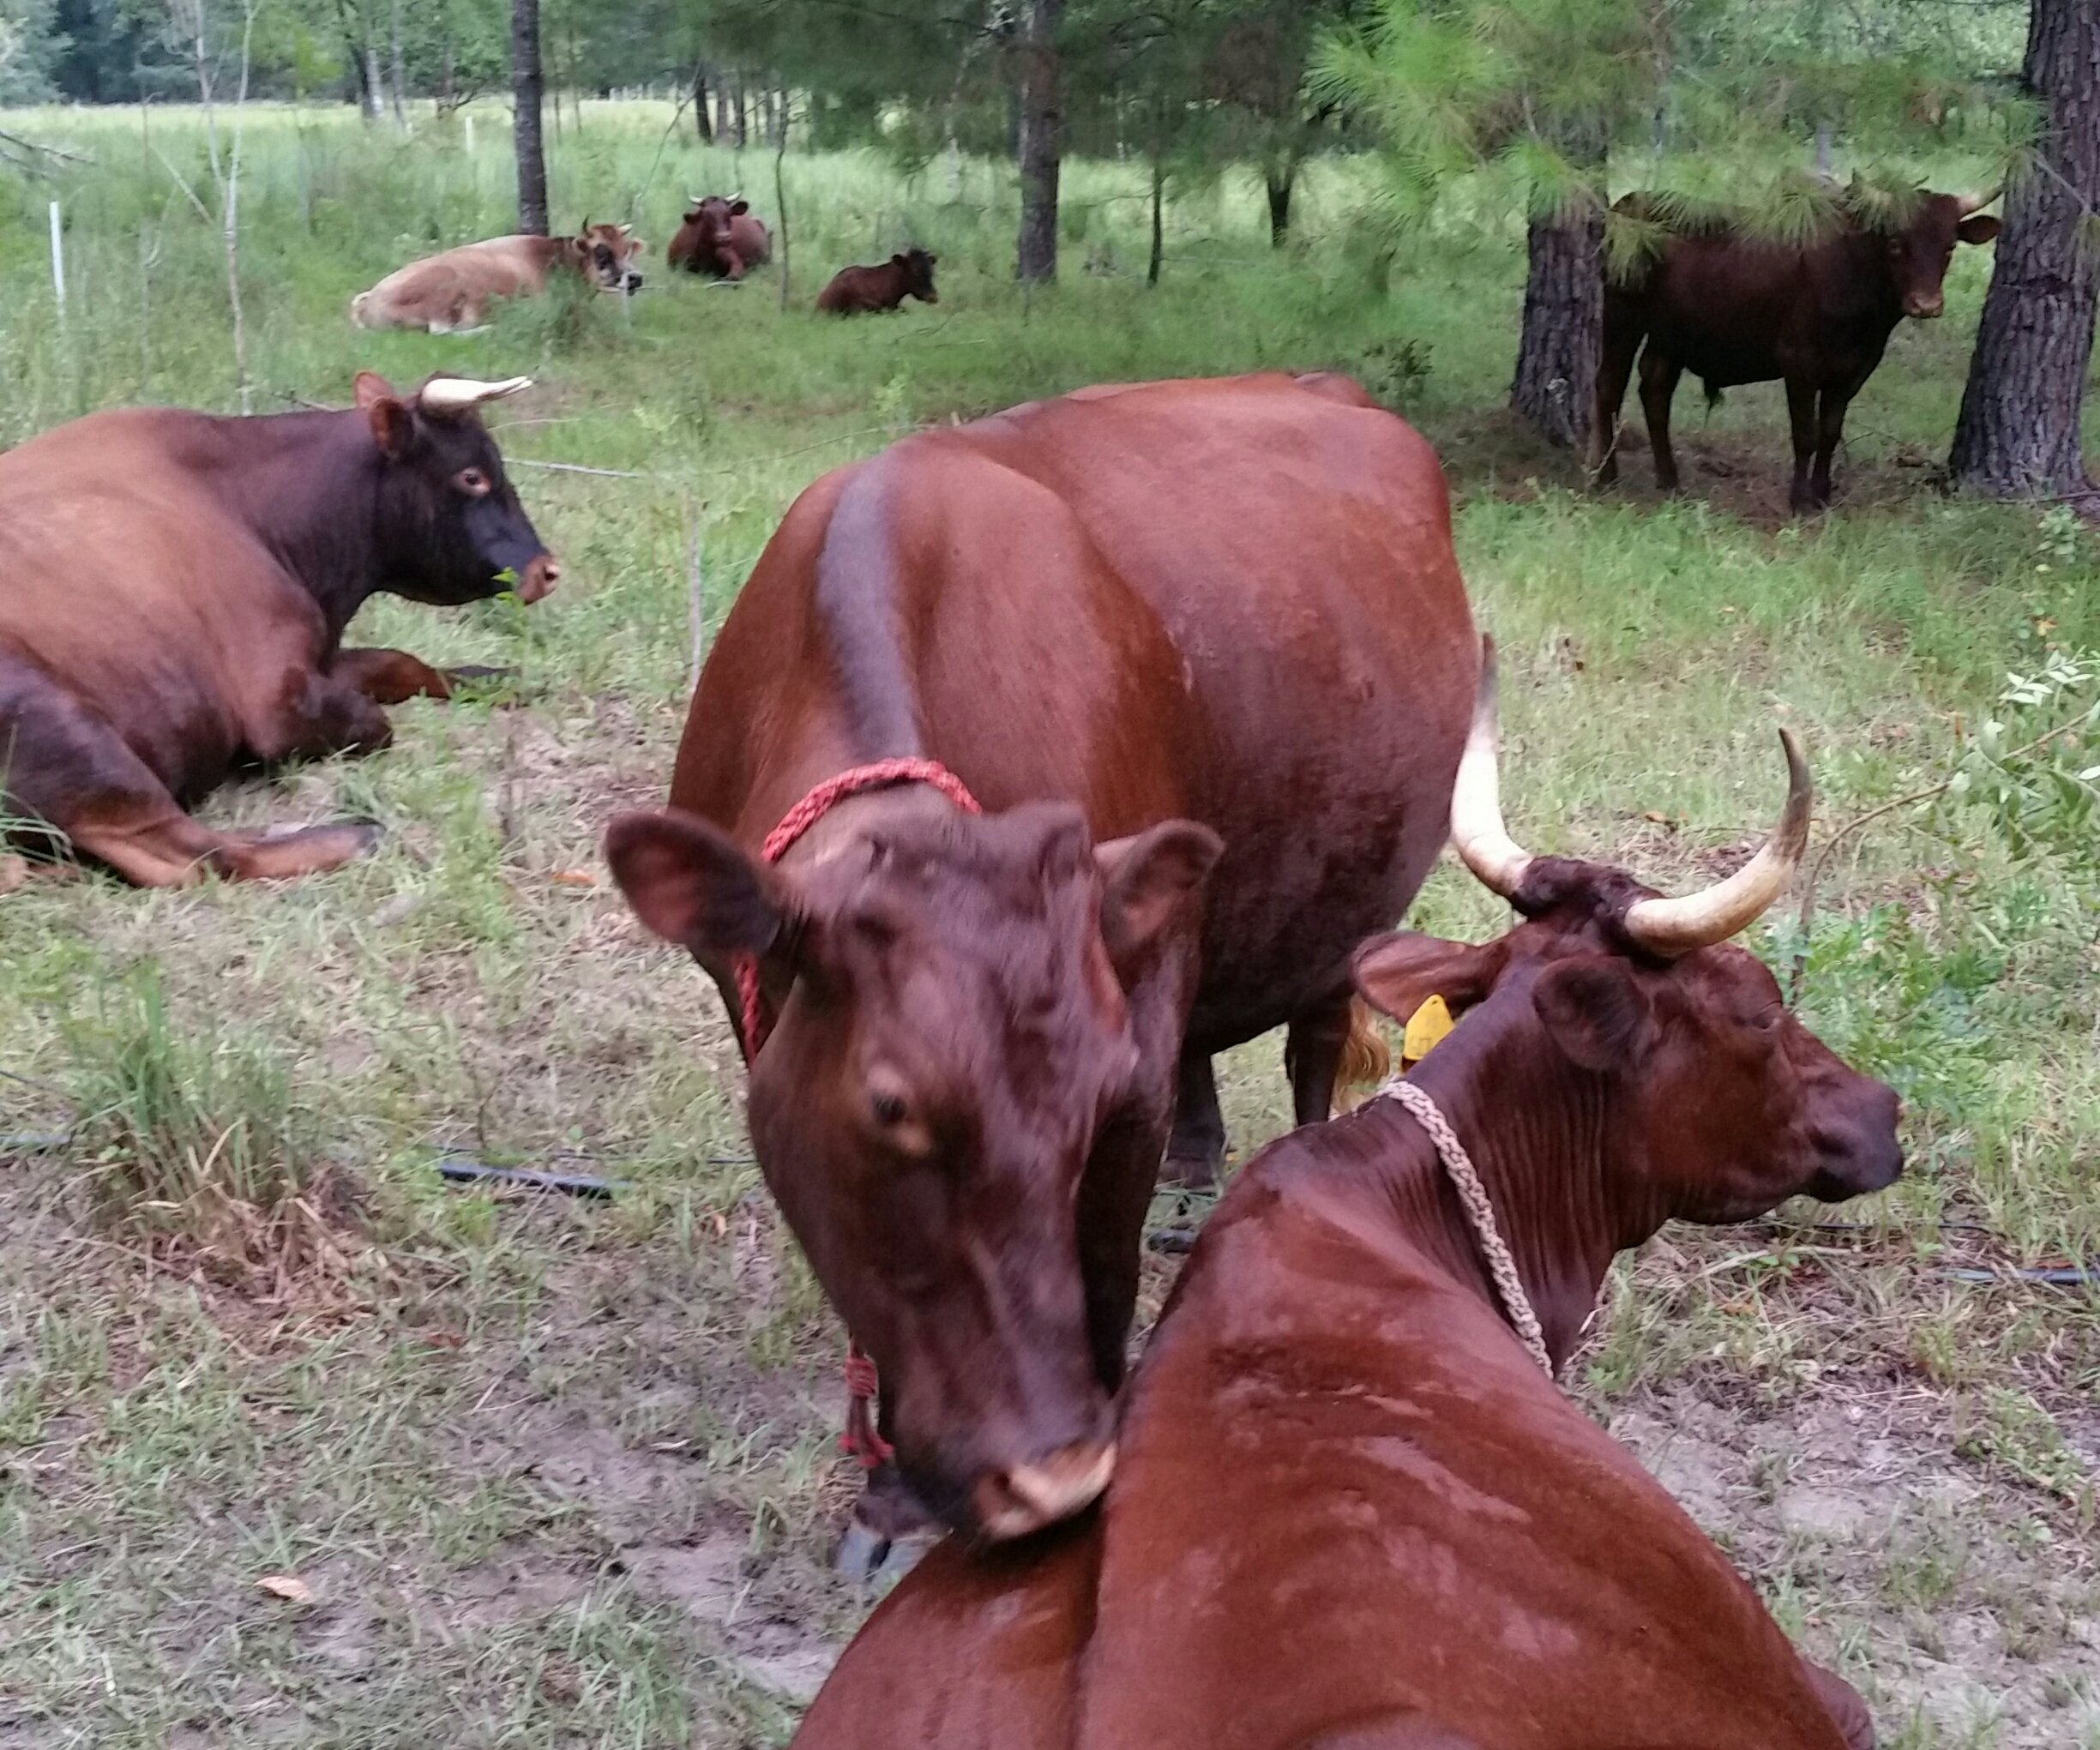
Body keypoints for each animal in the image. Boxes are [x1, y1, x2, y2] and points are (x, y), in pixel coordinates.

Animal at [0, 374, 558, 886]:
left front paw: (504, 678)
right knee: (198, 857)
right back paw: (352, 833)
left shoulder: (318, 655)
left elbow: (399, 661)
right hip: (70, 730)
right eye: (472, 476)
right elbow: (378, 722)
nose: (547, 569)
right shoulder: (274, 703)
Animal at [350, 223, 645, 332]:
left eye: (626, 249)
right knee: (444, 330)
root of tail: (369, 298)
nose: (635, 278)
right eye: (602, 252)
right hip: (446, 283)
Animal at [604, 372, 1478, 1564]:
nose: (1048, 1476)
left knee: (1311, 1054)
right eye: (890, 1105)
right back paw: (1197, 1165)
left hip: (1348, 914)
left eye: (1091, 1100)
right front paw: (889, 1496)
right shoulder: (762, 1012)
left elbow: (1103, 1269)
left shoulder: (1130, 1065)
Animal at [1591, 185, 2000, 512]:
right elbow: (1805, 434)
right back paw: (1605, 476)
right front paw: (1800, 499)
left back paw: (1669, 480)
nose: (1926, 304)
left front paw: (1822, 493)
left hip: (1671, 334)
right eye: (1897, 244)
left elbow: (1830, 432)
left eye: (1949, 246)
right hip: (1621, 318)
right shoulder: (1799, 362)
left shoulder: (1854, 369)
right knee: (1609, 387)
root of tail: (1626, 203)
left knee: (1655, 390)